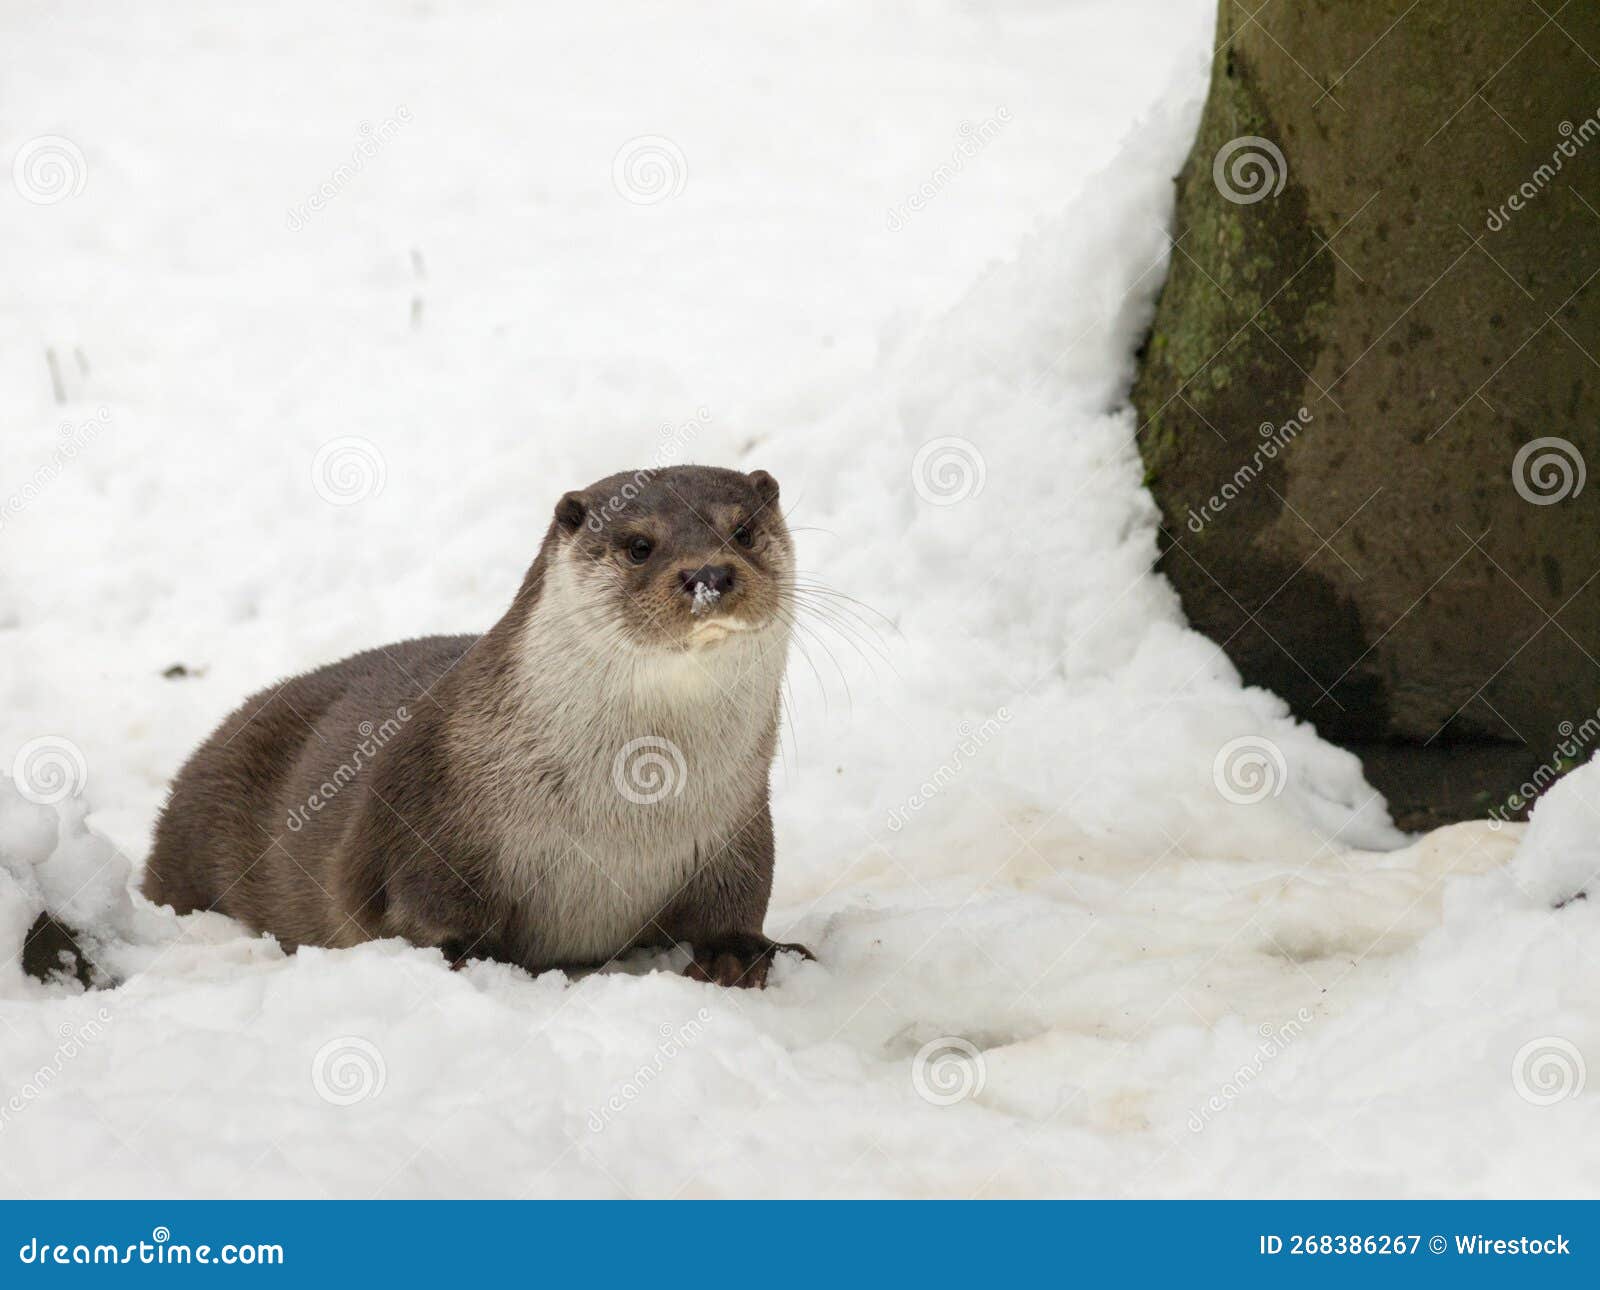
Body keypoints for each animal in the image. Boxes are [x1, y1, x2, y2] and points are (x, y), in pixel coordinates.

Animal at [141, 465, 812, 988]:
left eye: (743, 531)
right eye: (640, 545)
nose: (710, 575)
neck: (628, 814)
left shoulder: (738, 824)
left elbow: (739, 897)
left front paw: (738, 954)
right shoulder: (425, 809)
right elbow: (406, 905)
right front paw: (473, 956)